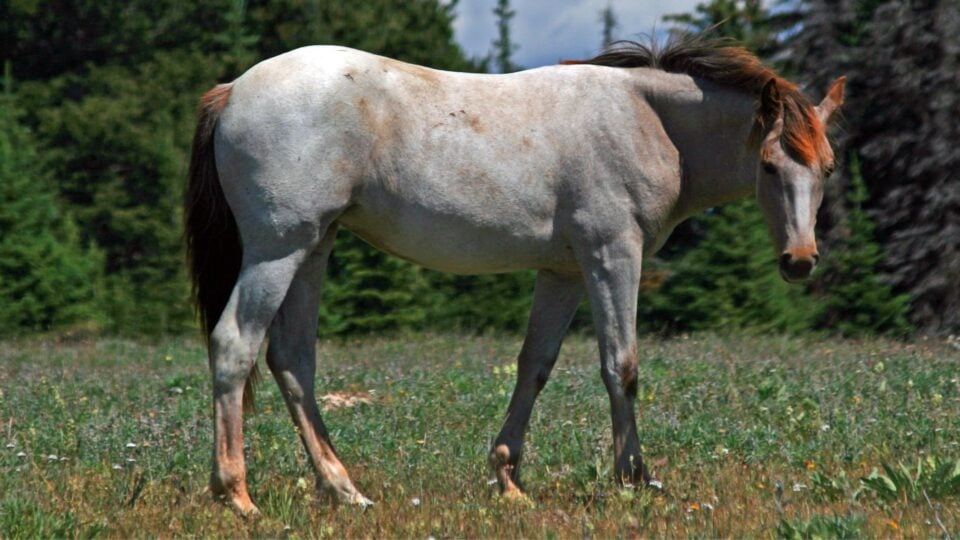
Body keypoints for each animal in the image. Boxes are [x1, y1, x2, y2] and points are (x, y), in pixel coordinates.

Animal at [185, 34, 844, 514]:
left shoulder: (563, 273)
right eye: (769, 165)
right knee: (235, 345)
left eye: (829, 168)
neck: (649, 120)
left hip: (313, 250)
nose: (799, 260)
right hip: (278, 250)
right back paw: (237, 495)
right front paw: (634, 479)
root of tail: (233, 90)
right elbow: (622, 366)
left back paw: (344, 489)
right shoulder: (612, 255)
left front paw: (508, 478)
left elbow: (535, 366)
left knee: (293, 360)